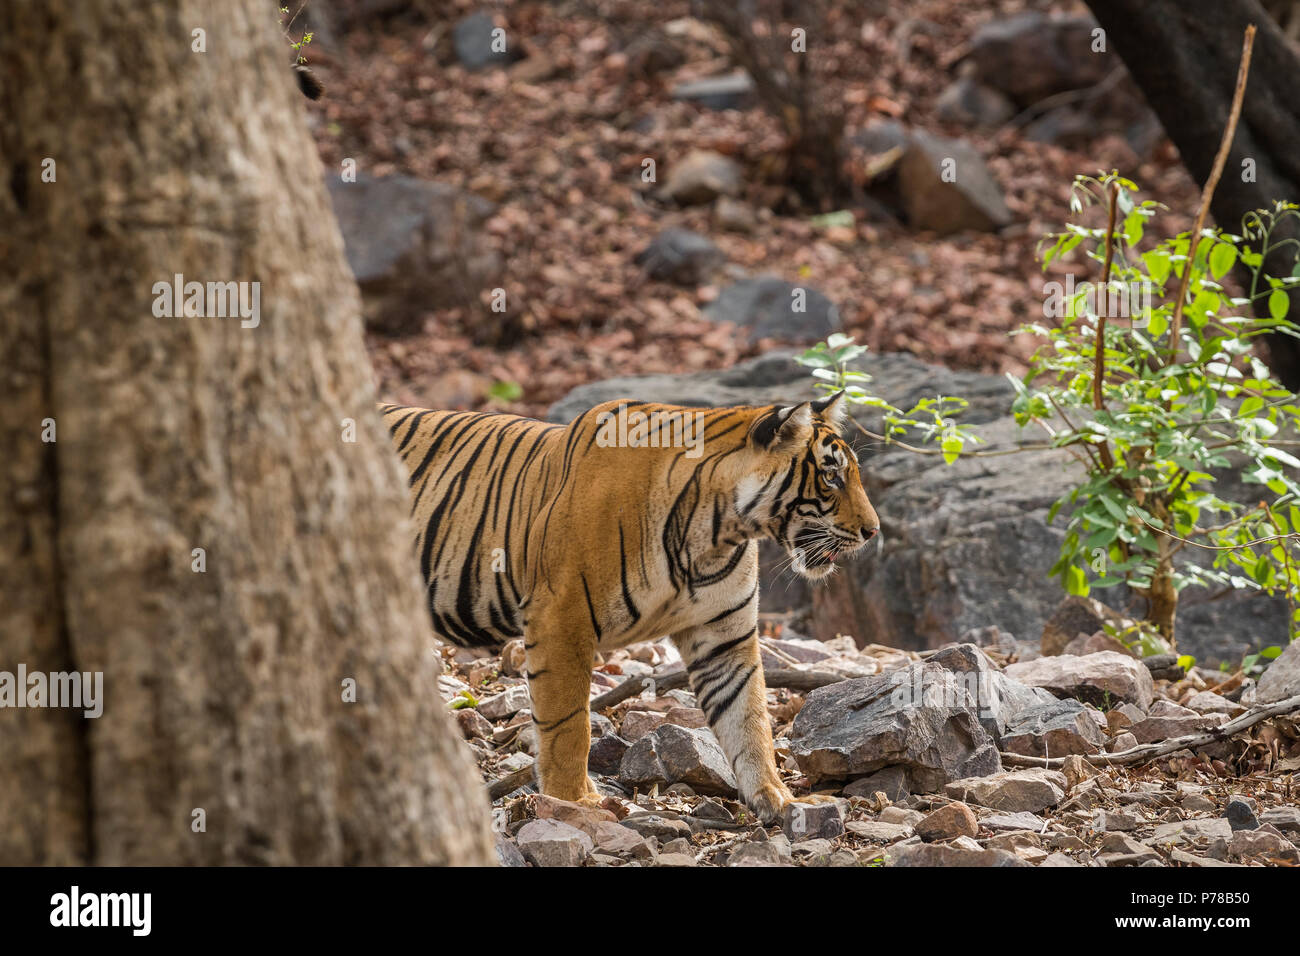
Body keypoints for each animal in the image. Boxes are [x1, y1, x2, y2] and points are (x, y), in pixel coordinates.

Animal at [379, 391, 880, 824]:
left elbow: (749, 719)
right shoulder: (561, 617)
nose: (873, 531)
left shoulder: (726, 636)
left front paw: (779, 800)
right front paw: (574, 802)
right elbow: (568, 723)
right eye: (831, 476)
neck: (717, 532)